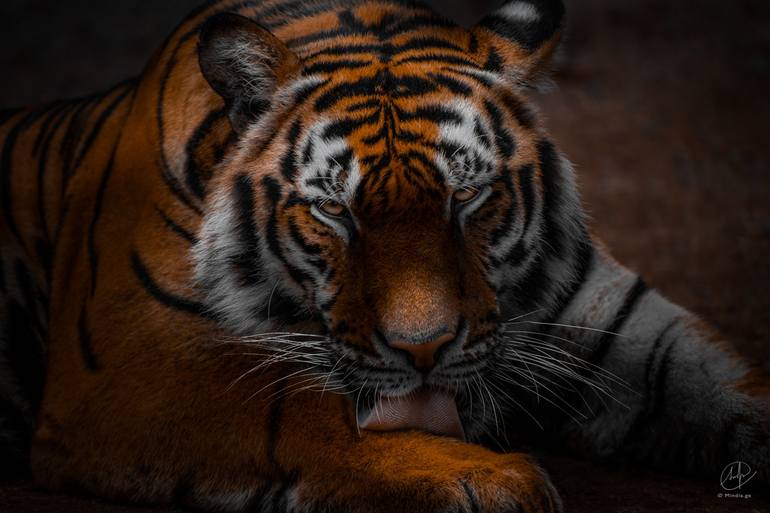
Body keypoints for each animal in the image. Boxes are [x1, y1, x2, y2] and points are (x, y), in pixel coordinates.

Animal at [0, 0, 768, 511]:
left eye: (468, 196)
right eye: (335, 210)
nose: (423, 350)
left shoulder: (609, 319)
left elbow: (723, 384)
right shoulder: (124, 369)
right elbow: (294, 405)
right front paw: (489, 478)